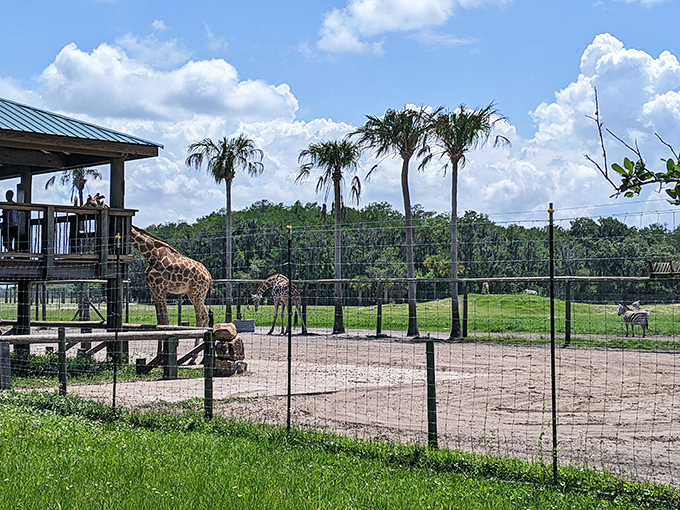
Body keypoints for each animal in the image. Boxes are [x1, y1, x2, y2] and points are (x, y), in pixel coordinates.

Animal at [130, 225, 212, 358]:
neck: (150, 253)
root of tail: (209, 277)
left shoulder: (160, 288)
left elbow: (165, 321)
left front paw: (163, 352)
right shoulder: (153, 289)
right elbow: (159, 321)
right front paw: (159, 353)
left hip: (197, 293)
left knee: (202, 316)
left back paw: (194, 355)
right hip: (193, 293)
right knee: (203, 316)